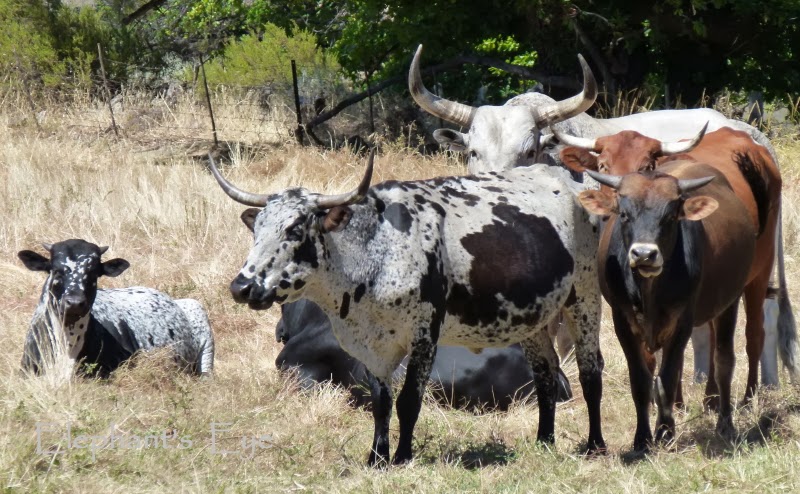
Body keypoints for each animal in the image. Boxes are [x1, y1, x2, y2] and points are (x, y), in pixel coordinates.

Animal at [556, 126, 795, 404]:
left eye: (646, 166)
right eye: (603, 165)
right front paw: (669, 401)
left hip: (760, 271)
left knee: (754, 333)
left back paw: (748, 397)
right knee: (713, 333)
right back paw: (711, 396)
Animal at [578, 163, 756, 450]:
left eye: (670, 216)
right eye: (624, 214)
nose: (644, 254)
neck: (649, 290)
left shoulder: (683, 322)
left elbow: (667, 379)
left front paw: (664, 432)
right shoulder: (622, 321)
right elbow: (641, 381)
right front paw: (642, 438)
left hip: (730, 302)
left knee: (724, 361)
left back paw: (725, 424)